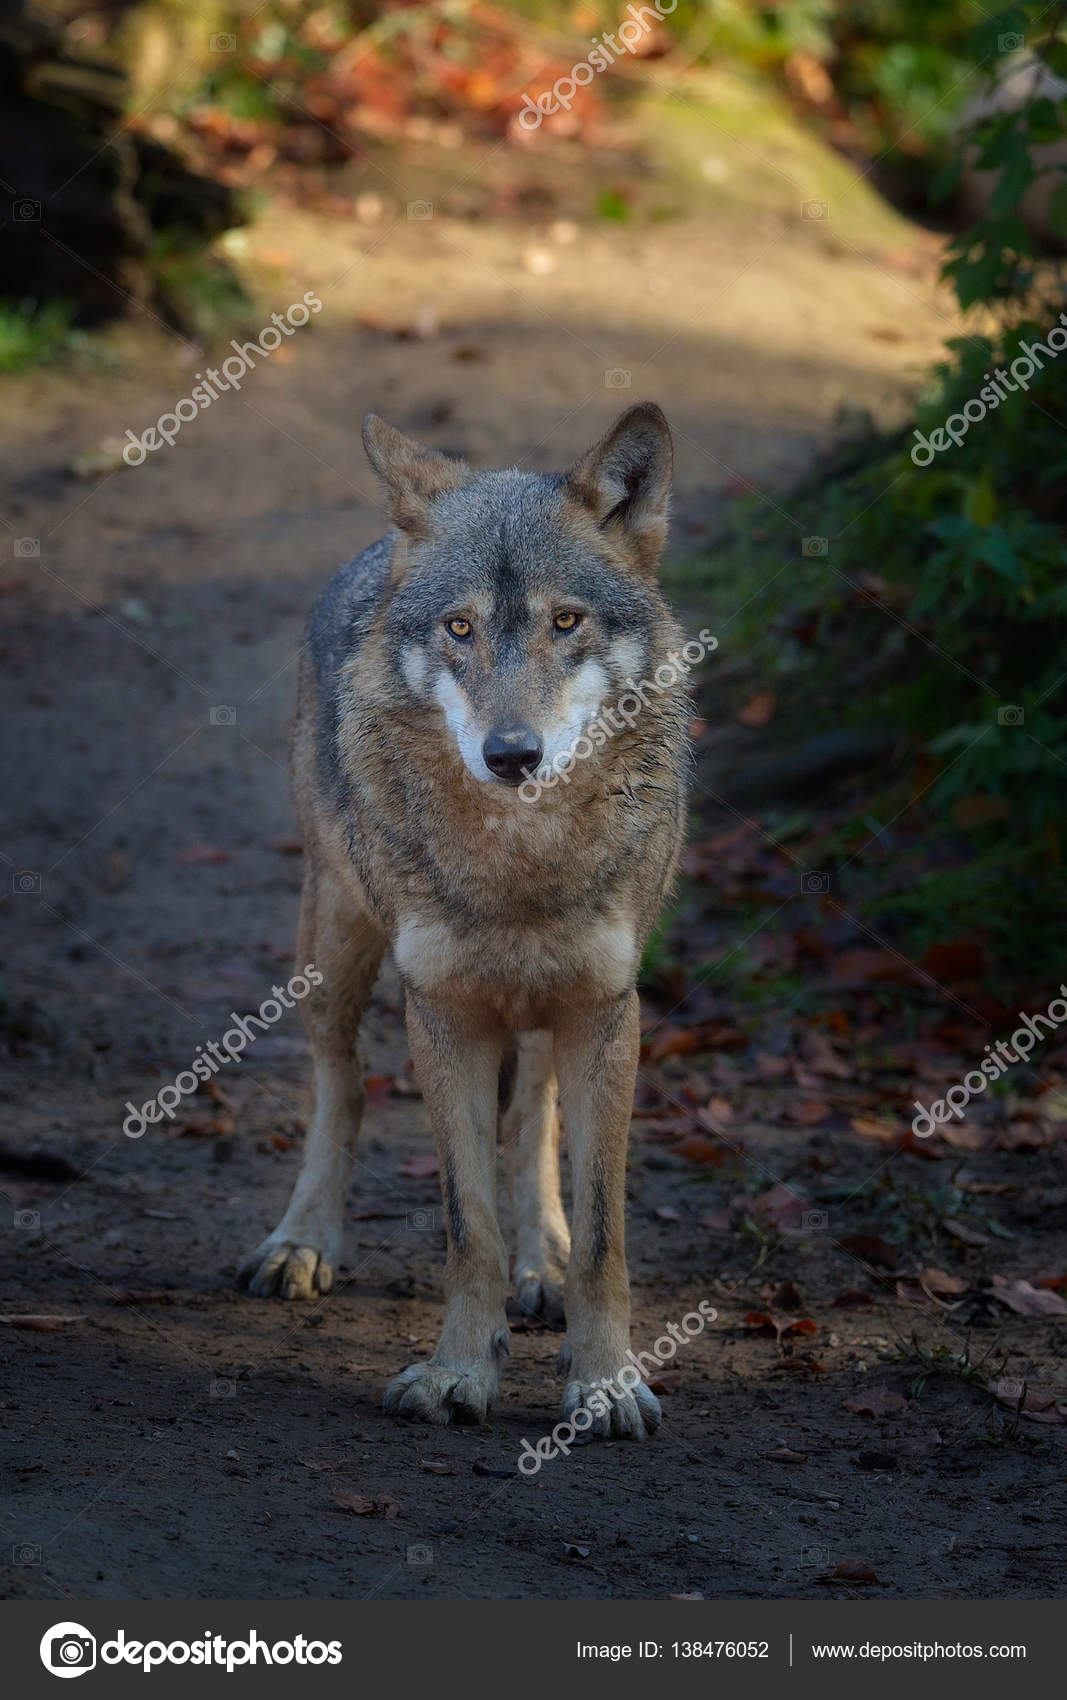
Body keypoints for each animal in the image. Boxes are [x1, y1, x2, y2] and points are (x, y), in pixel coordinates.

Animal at [238, 403, 689, 1439]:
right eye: (459, 628)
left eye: (565, 621)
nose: (511, 754)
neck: (518, 865)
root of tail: (376, 547)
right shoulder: (440, 1011)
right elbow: (462, 1224)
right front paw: (456, 1372)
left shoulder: (606, 1011)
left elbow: (600, 1234)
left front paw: (603, 1381)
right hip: (334, 946)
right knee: (339, 1087)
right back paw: (302, 1241)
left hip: (549, 1013)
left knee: (533, 1117)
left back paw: (543, 1265)